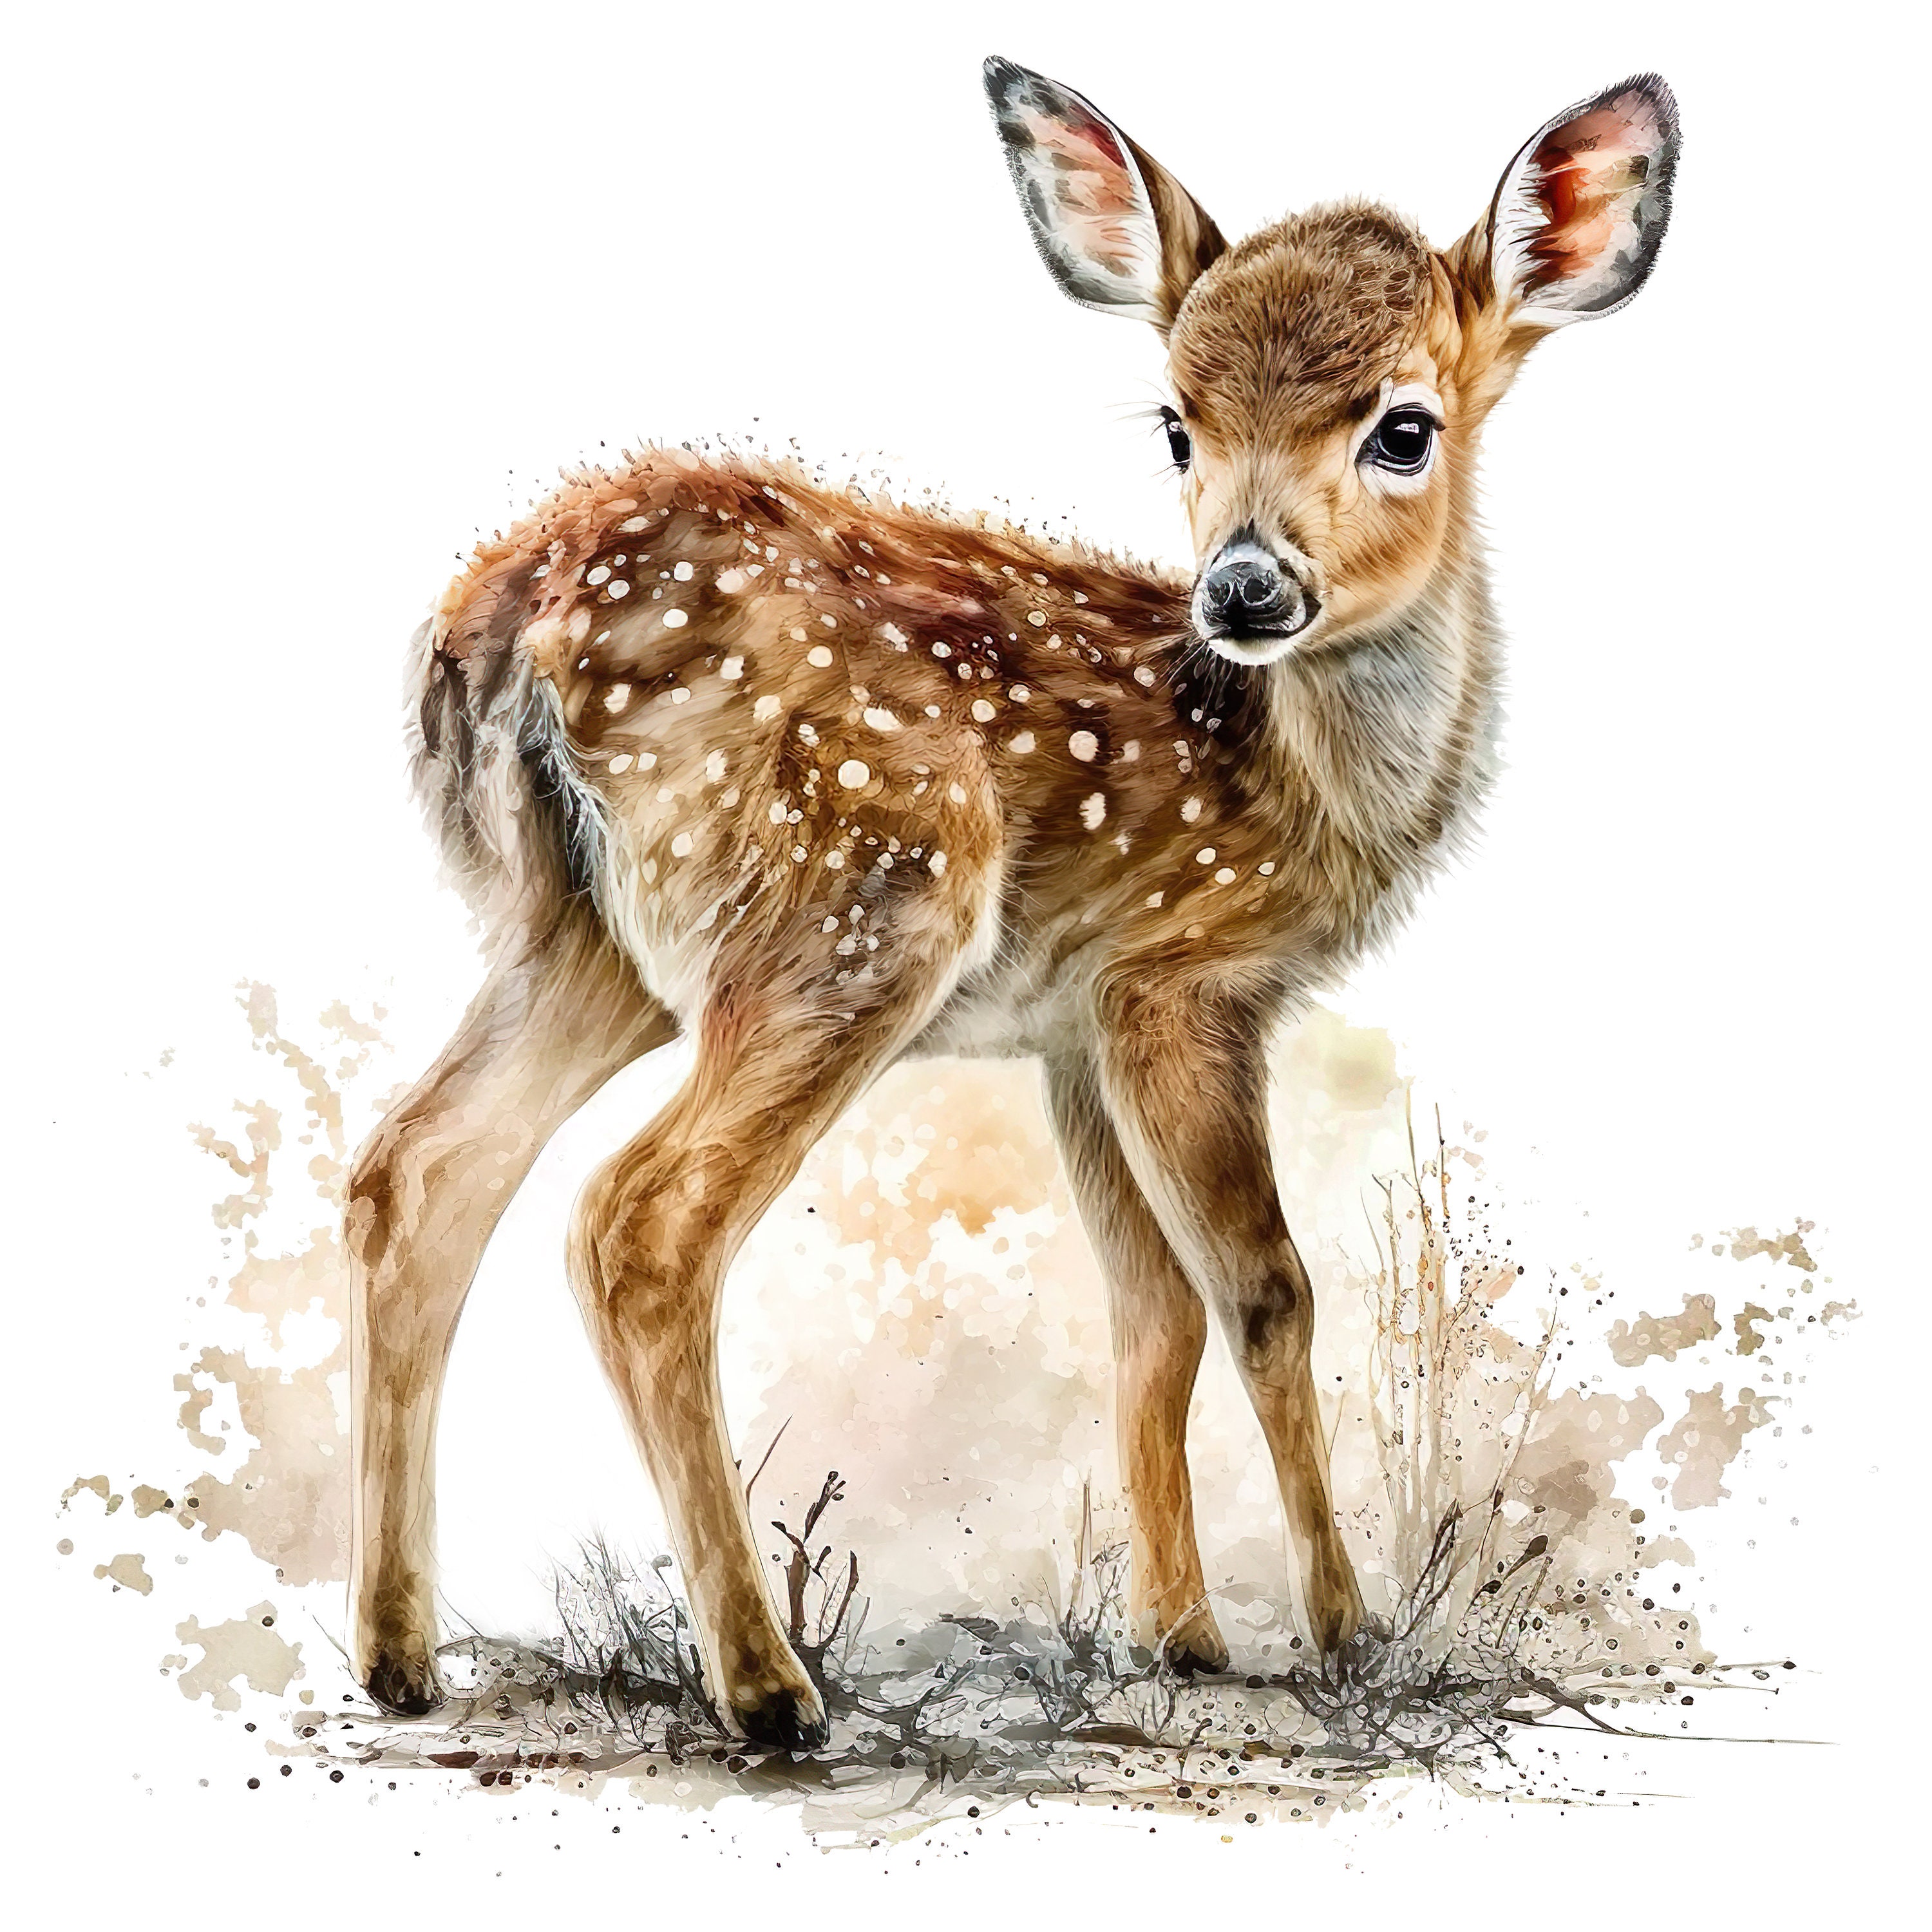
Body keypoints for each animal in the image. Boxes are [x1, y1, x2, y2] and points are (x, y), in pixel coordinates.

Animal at [345, 55, 1679, 1748]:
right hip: (855, 906)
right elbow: (1265, 1290)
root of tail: (500, 623)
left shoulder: (1070, 1023)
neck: (1293, 775)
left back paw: (395, 1655)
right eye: (1176, 422)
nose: (1243, 586)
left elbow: (1151, 1310)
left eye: (1403, 427)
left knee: (417, 1171)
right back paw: (766, 1688)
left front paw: (1181, 1635)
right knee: (635, 1219)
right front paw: (1339, 1629)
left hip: (577, 939)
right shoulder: (1181, 976)